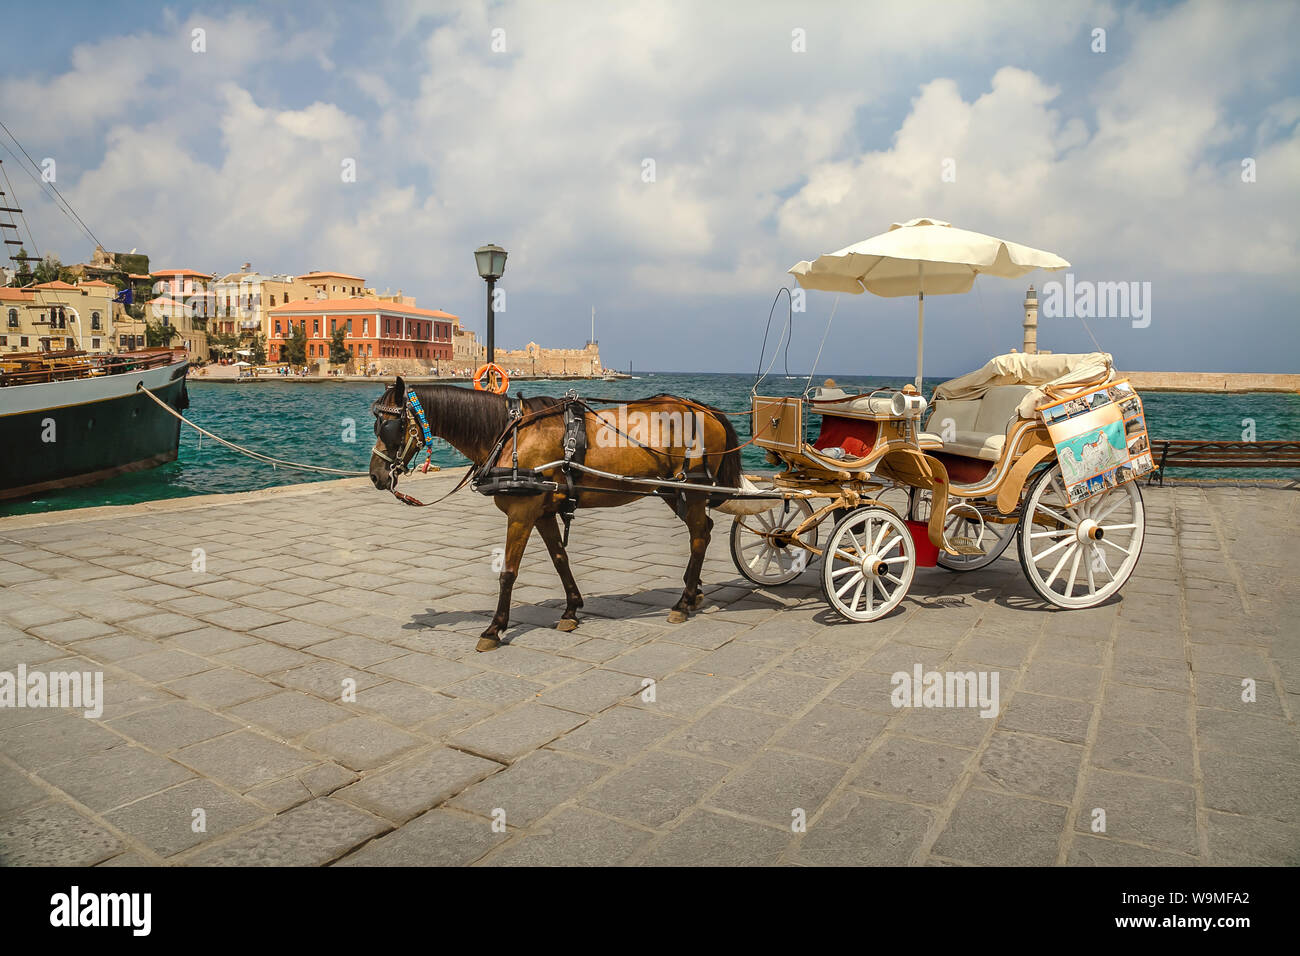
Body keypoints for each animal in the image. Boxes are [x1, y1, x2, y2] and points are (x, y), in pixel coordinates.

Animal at [369, 379, 745, 652]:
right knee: (703, 531)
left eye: (390, 426)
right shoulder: (542, 513)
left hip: (690, 489)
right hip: (671, 490)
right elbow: (560, 558)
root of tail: (704, 409)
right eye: (376, 425)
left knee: (700, 535)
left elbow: (508, 572)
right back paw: (693, 593)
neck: (508, 434)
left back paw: (682, 602)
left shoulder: (522, 512)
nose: (375, 475)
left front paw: (494, 628)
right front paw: (571, 609)